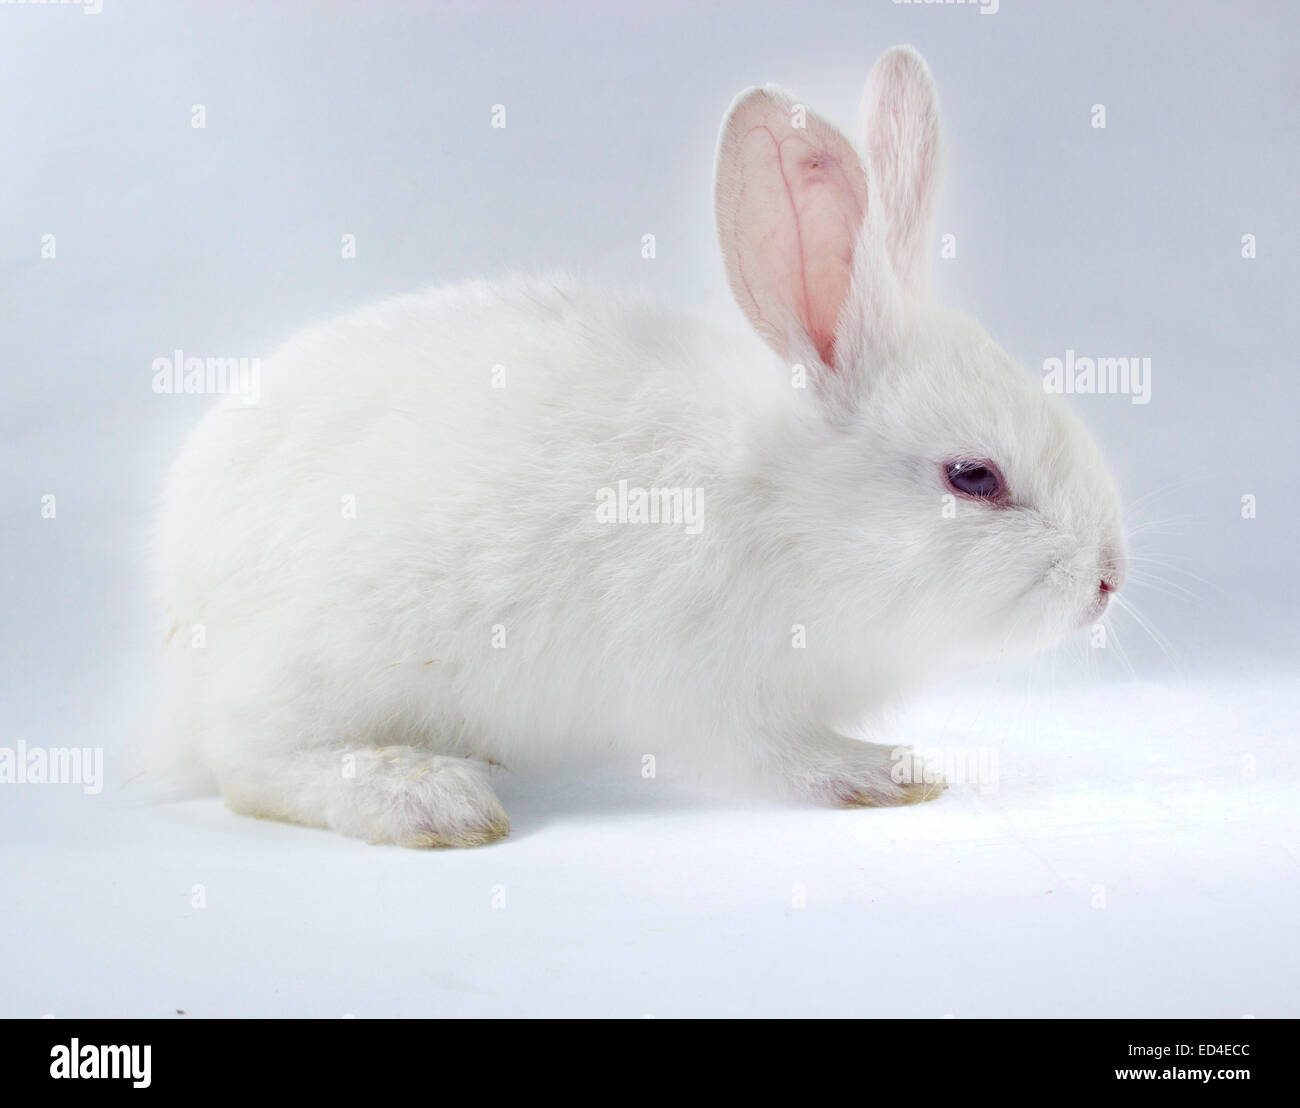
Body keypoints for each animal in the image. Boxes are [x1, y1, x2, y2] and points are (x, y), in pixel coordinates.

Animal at [154, 45, 1126, 847]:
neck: (790, 508)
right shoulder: (712, 688)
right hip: (317, 662)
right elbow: (776, 758)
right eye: (974, 477)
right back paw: (429, 798)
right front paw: (884, 773)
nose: (1109, 581)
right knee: (251, 762)